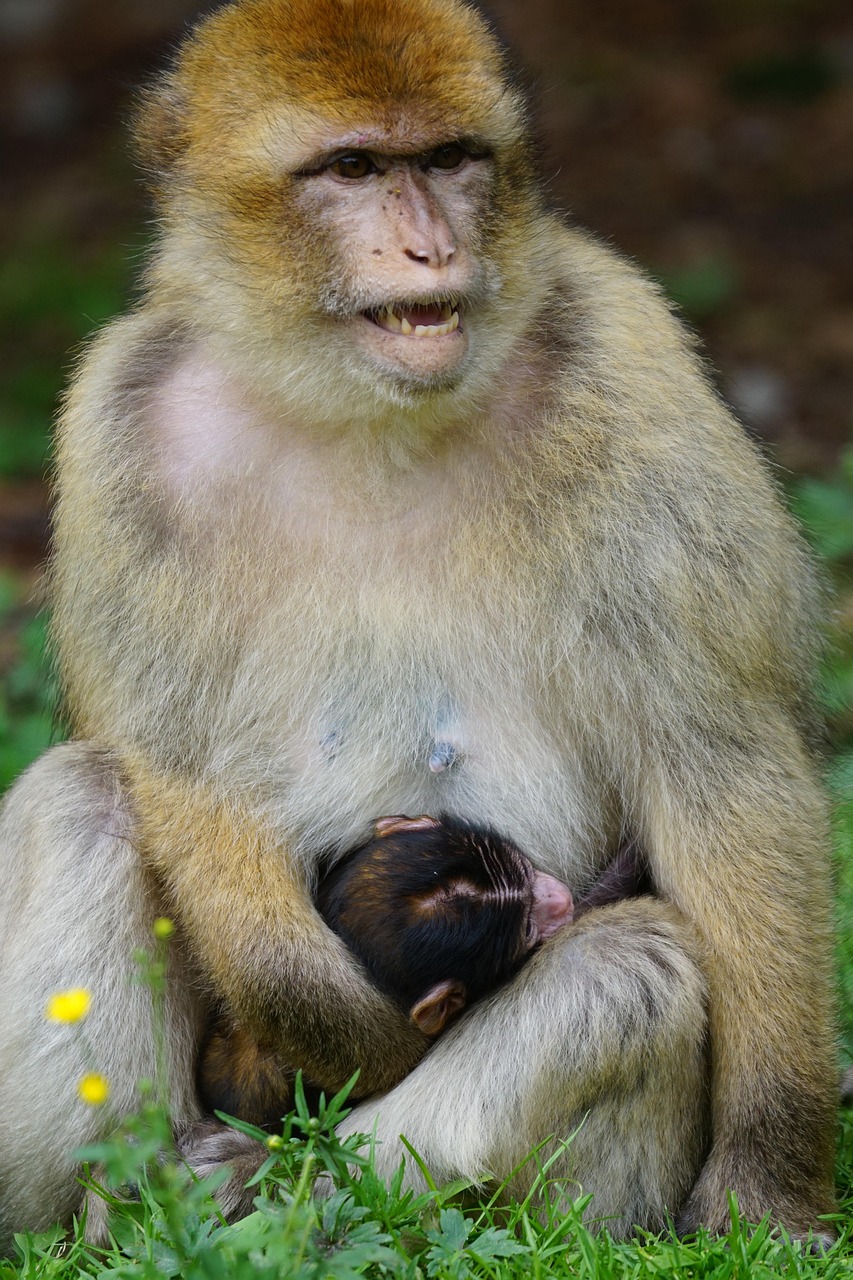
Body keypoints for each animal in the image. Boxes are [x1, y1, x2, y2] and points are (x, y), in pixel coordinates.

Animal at [0, 0, 836, 1252]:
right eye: (351, 168)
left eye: (447, 160)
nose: (431, 251)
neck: (357, 408)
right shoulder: (119, 420)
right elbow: (173, 766)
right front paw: (325, 1013)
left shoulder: (622, 367)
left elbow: (716, 761)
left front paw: (768, 1184)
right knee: (86, 792)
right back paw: (133, 1194)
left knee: (628, 972)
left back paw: (279, 1196)